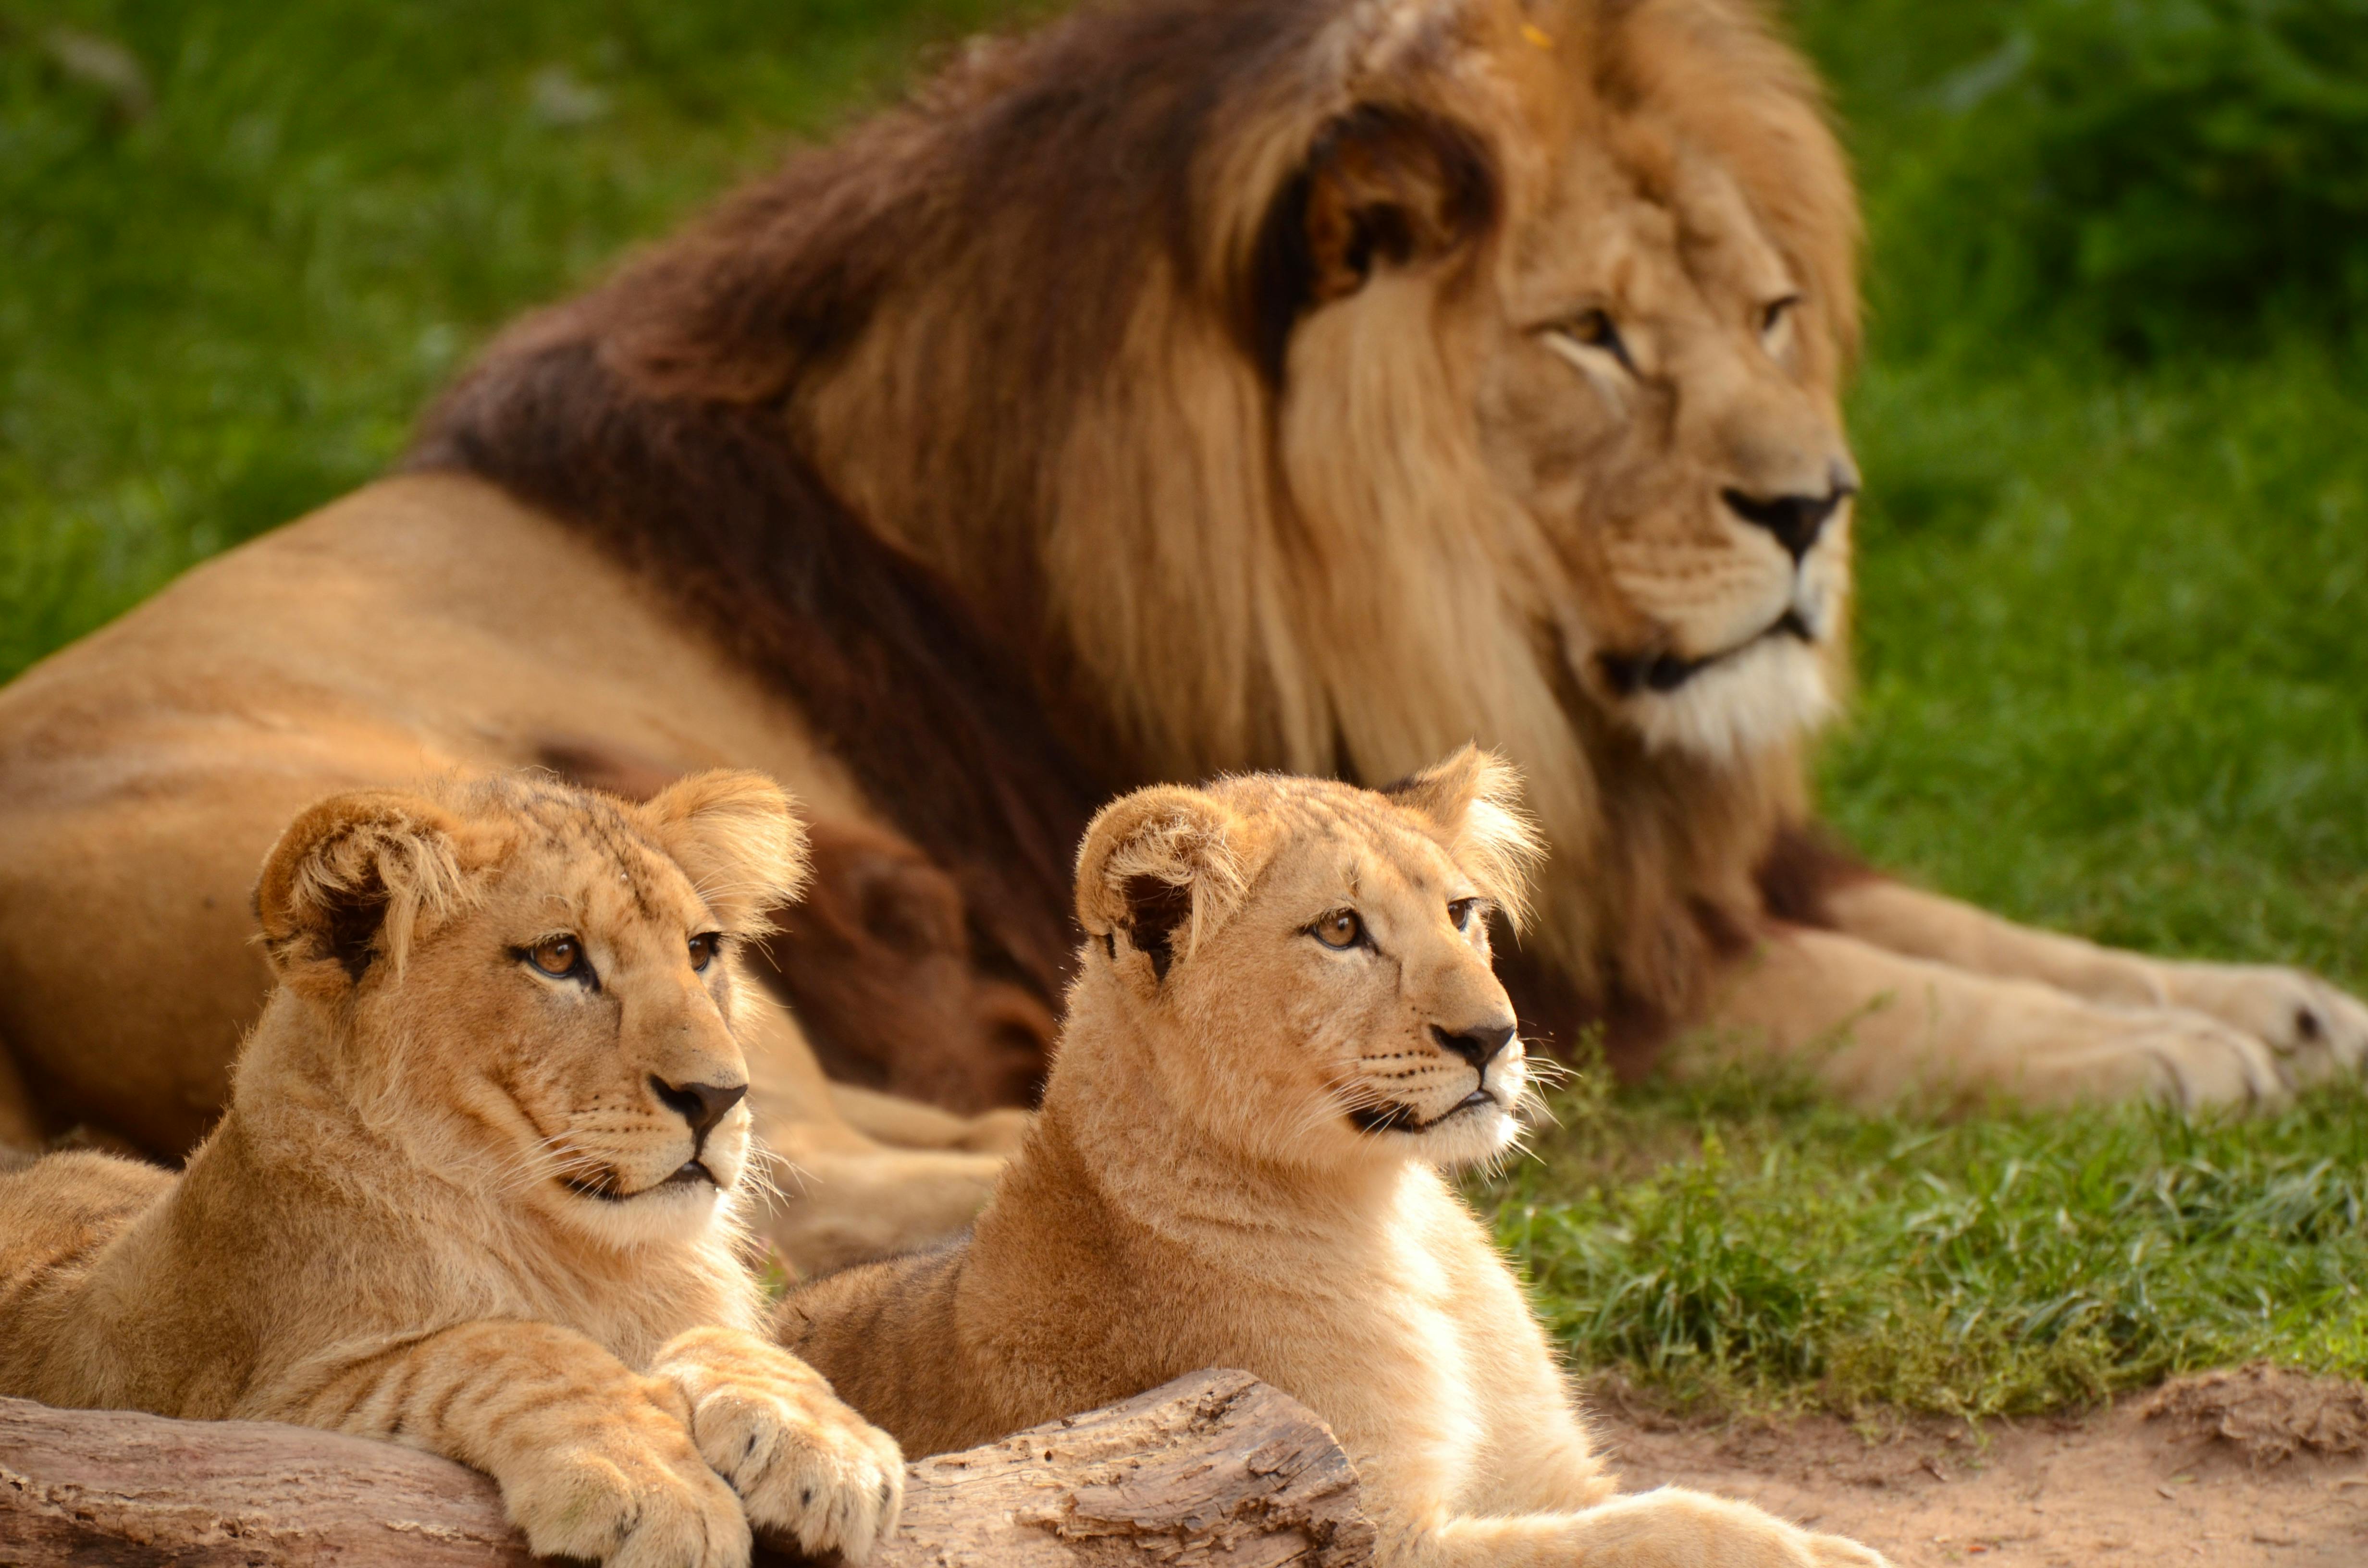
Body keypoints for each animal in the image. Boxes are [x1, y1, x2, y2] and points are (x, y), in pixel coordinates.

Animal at [0, 769, 905, 1567]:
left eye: (700, 950)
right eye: (558, 956)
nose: (719, 1095)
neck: (586, 1256)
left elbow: (725, 1335)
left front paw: (819, 1441)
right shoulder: (234, 1409)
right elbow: (504, 1344)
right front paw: (660, 1490)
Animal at [1, 0, 2360, 1170]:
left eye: (1771, 310)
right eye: (1592, 338)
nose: (1821, 508)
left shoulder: (1668, 864)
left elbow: (1963, 924)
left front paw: (2275, 1001)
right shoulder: (1542, 939)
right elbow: (1869, 1002)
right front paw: (2167, 1064)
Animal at [781, 749, 1890, 1568]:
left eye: (1460, 913)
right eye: (1342, 931)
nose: (1494, 1035)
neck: (1389, 1211)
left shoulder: (1545, 1475)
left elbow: (1652, 1509)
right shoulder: (1349, 1518)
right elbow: (1656, 1531)